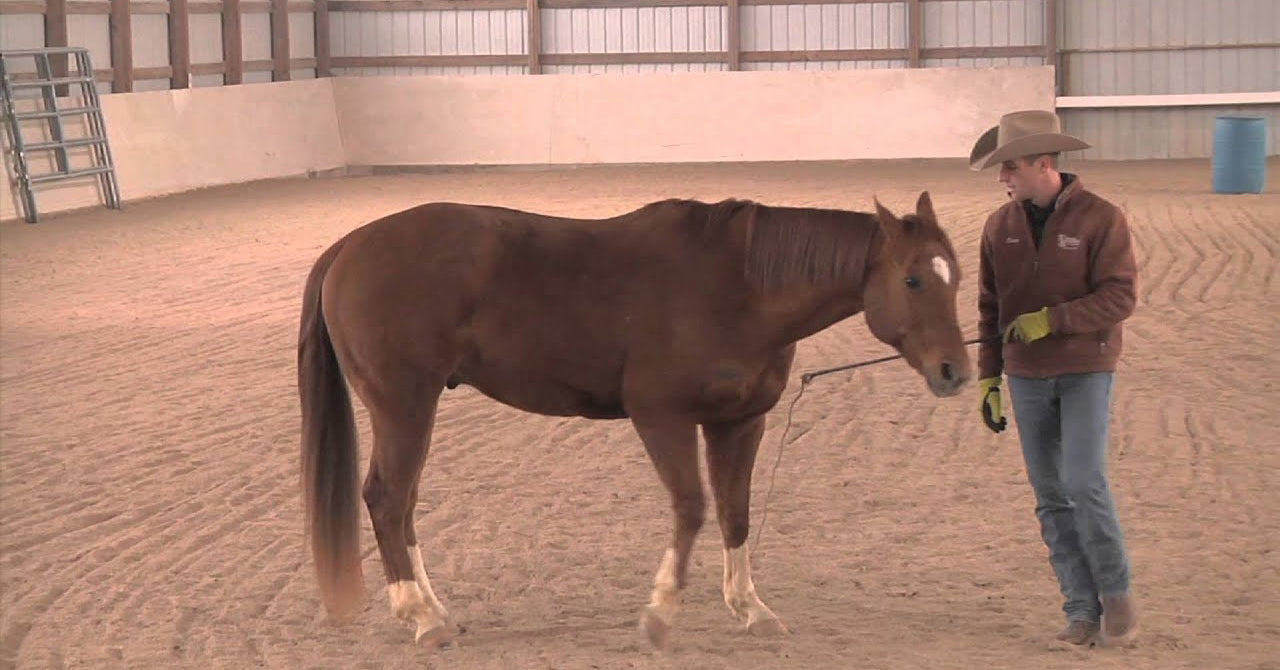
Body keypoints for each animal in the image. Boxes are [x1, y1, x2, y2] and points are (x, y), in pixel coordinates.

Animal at [297, 190, 972, 649]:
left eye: (957, 278)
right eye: (913, 279)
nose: (955, 371)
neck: (739, 288)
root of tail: (350, 245)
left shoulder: (739, 422)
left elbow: (735, 513)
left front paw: (750, 609)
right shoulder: (661, 418)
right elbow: (692, 508)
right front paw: (659, 615)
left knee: (404, 504)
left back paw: (435, 610)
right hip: (405, 405)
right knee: (387, 499)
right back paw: (422, 619)